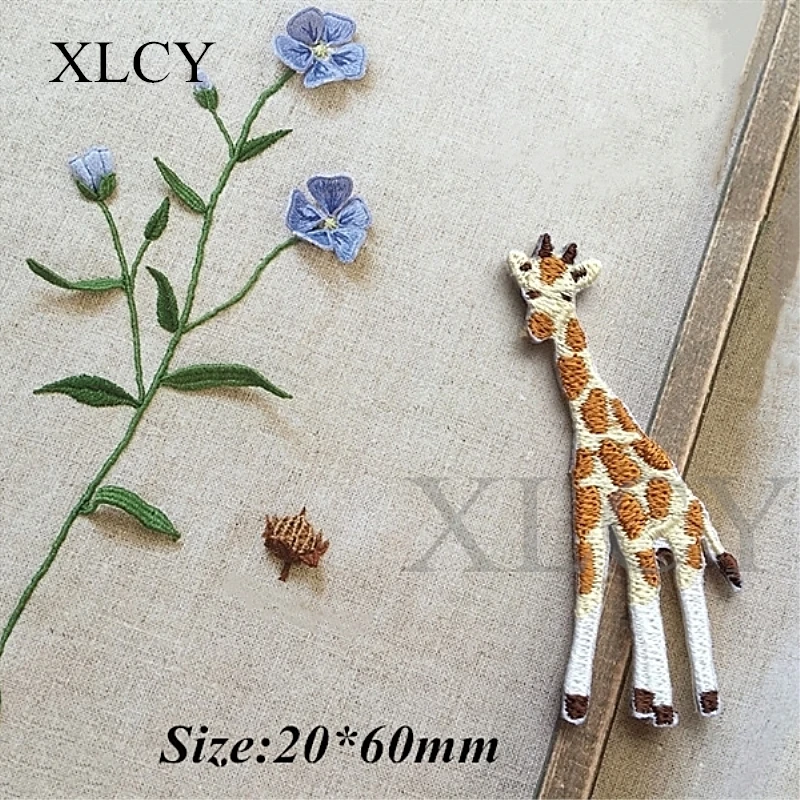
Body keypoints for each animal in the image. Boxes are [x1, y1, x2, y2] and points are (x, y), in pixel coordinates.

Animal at [507, 234, 741, 727]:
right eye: (529, 291)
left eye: (567, 295)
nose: (535, 330)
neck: (592, 426)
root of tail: (700, 509)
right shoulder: (591, 512)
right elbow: (591, 590)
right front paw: (586, 701)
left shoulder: (628, 522)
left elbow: (637, 594)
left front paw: (653, 705)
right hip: (668, 542)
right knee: (666, 583)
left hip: (681, 540)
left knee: (680, 588)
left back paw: (699, 698)